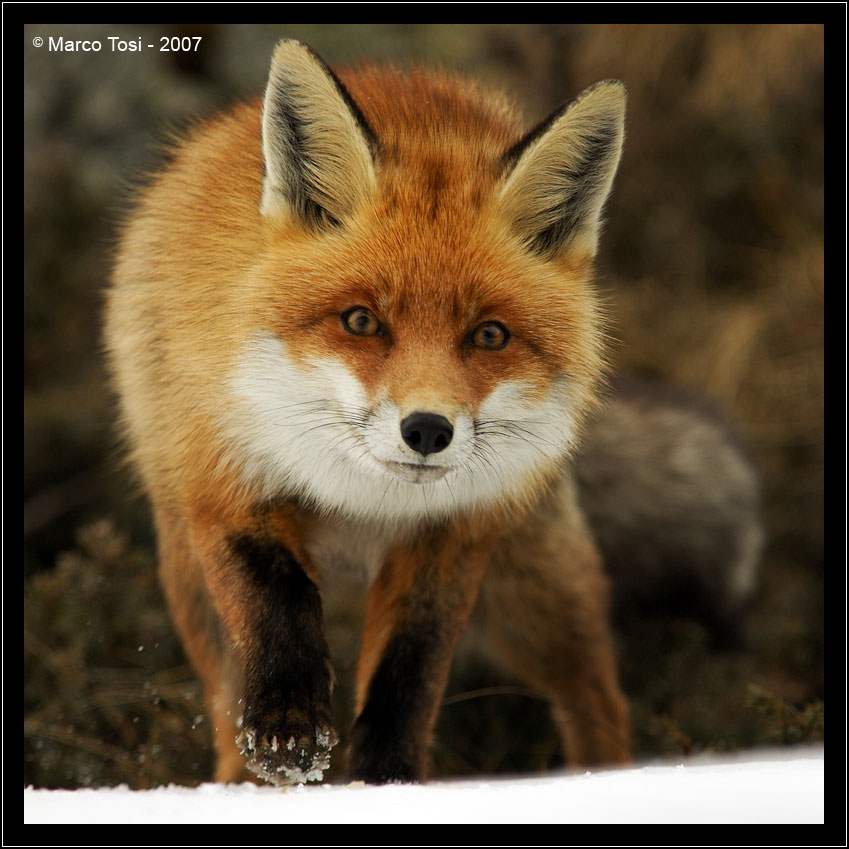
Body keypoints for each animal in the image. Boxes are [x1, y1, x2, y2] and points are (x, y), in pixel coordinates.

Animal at [104, 39, 760, 785]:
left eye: (489, 335)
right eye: (361, 321)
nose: (426, 430)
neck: (363, 504)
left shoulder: (454, 535)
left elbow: (409, 676)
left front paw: (387, 779)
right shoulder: (221, 483)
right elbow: (276, 602)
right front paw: (289, 726)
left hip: (532, 590)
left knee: (597, 698)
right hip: (186, 579)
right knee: (224, 694)